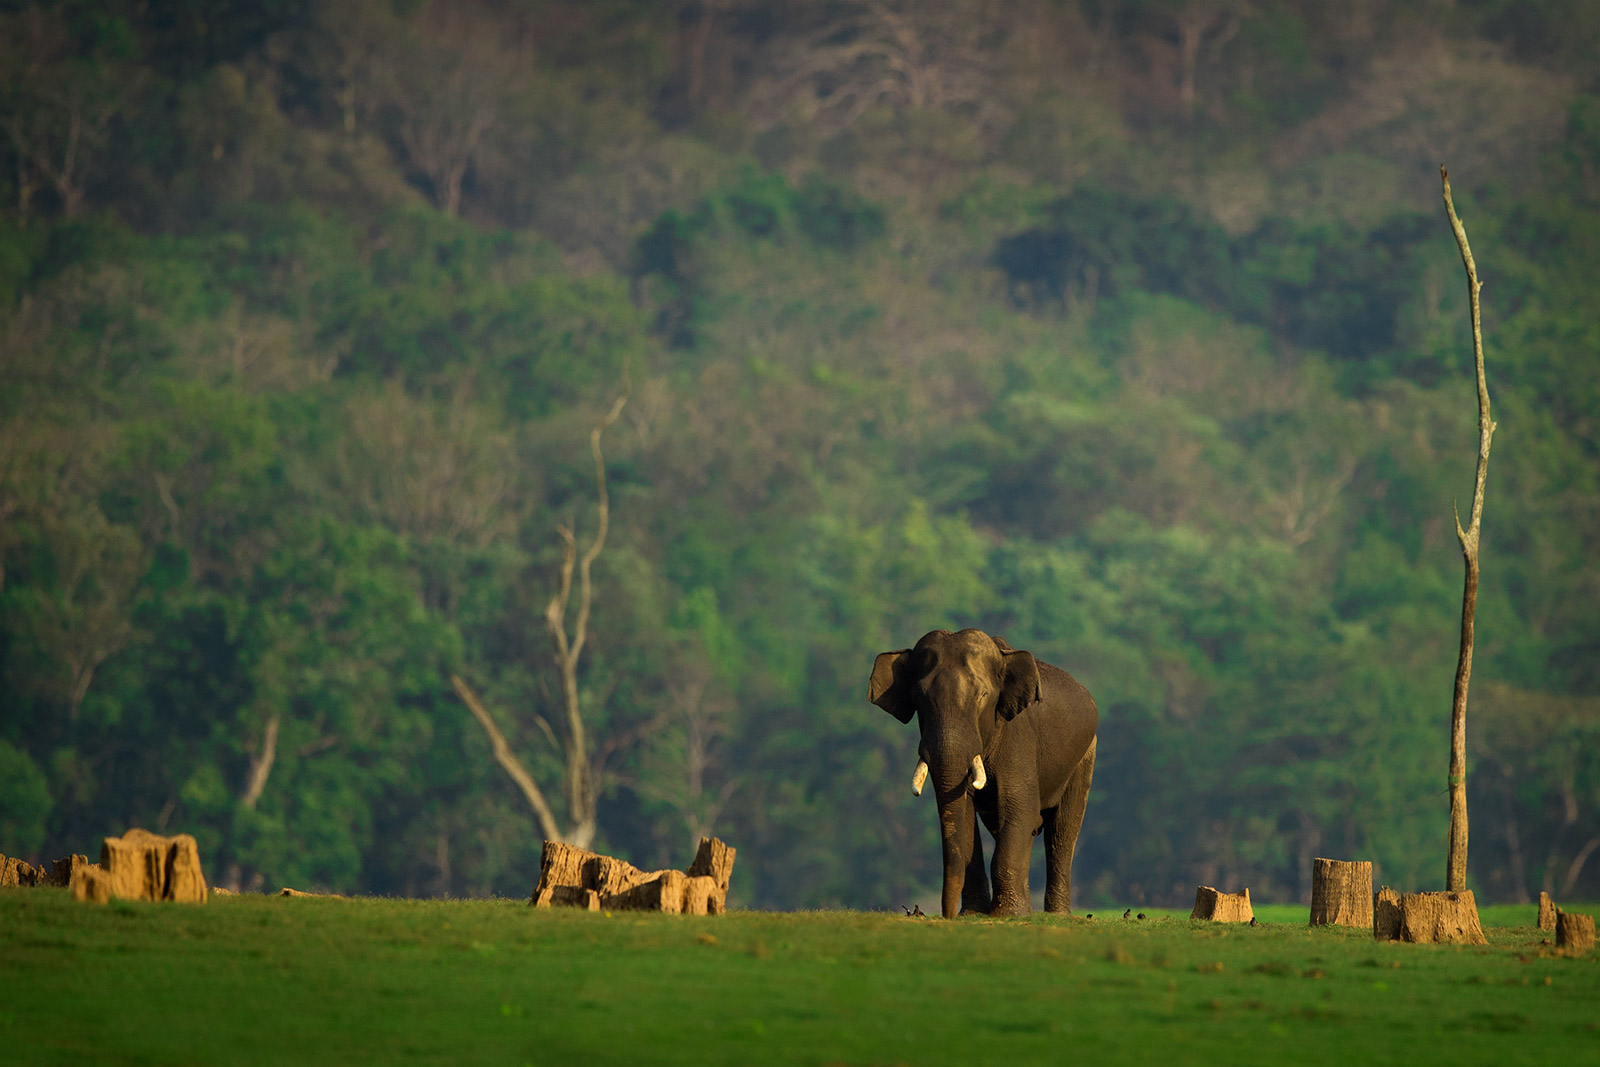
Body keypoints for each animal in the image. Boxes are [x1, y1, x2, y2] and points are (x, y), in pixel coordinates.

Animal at [869, 628, 1097, 918]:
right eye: (918, 699)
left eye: (983, 696)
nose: (947, 915)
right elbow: (967, 812)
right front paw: (975, 914)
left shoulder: (1018, 736)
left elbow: (1019, 805)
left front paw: (1007, 915)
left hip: (1085, 755)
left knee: (1062, 830)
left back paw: (1056, 915)